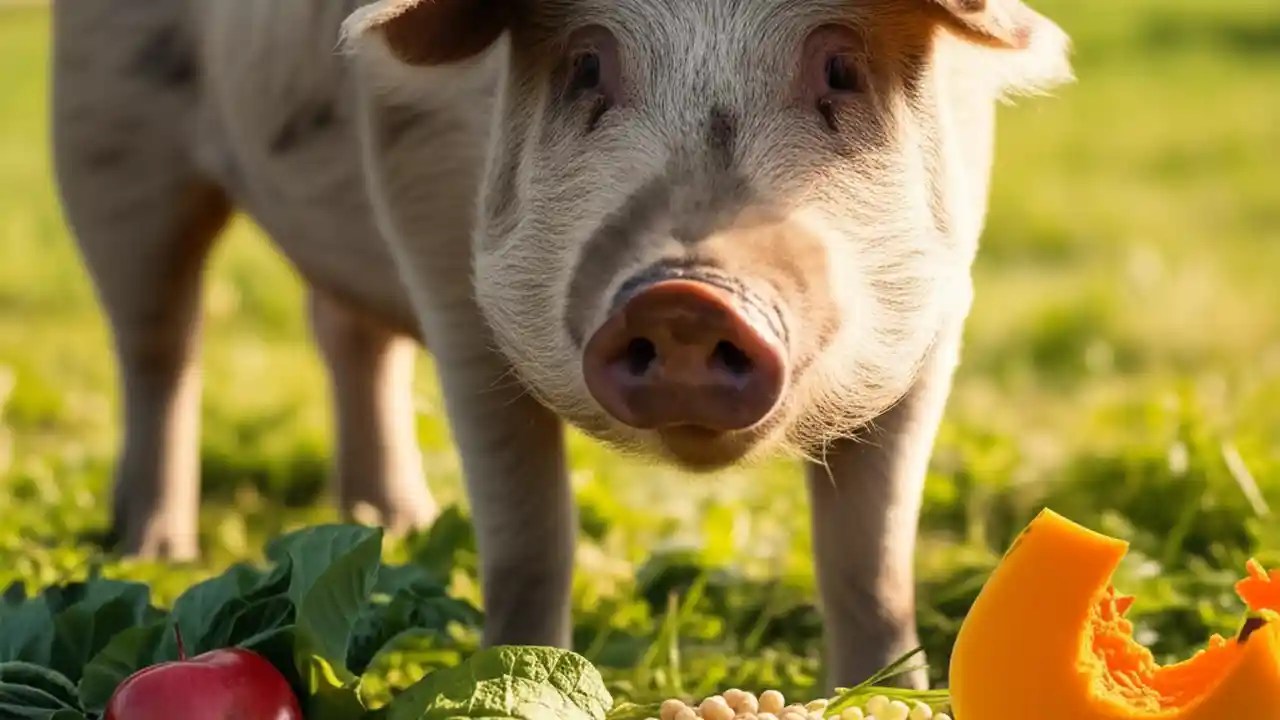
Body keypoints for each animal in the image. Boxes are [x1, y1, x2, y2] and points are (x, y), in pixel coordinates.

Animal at [51, 0, 1072, 689]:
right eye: (584, 65)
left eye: (840, 69)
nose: (687, 297)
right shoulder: (451, 288)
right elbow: (529, 534)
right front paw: (515, 677)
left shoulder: (942, 308)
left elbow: (871, 553)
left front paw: (887, 695)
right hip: (107, 132)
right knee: (159, 342)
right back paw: (154, 550)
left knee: (346, 337)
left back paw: (396, 524)